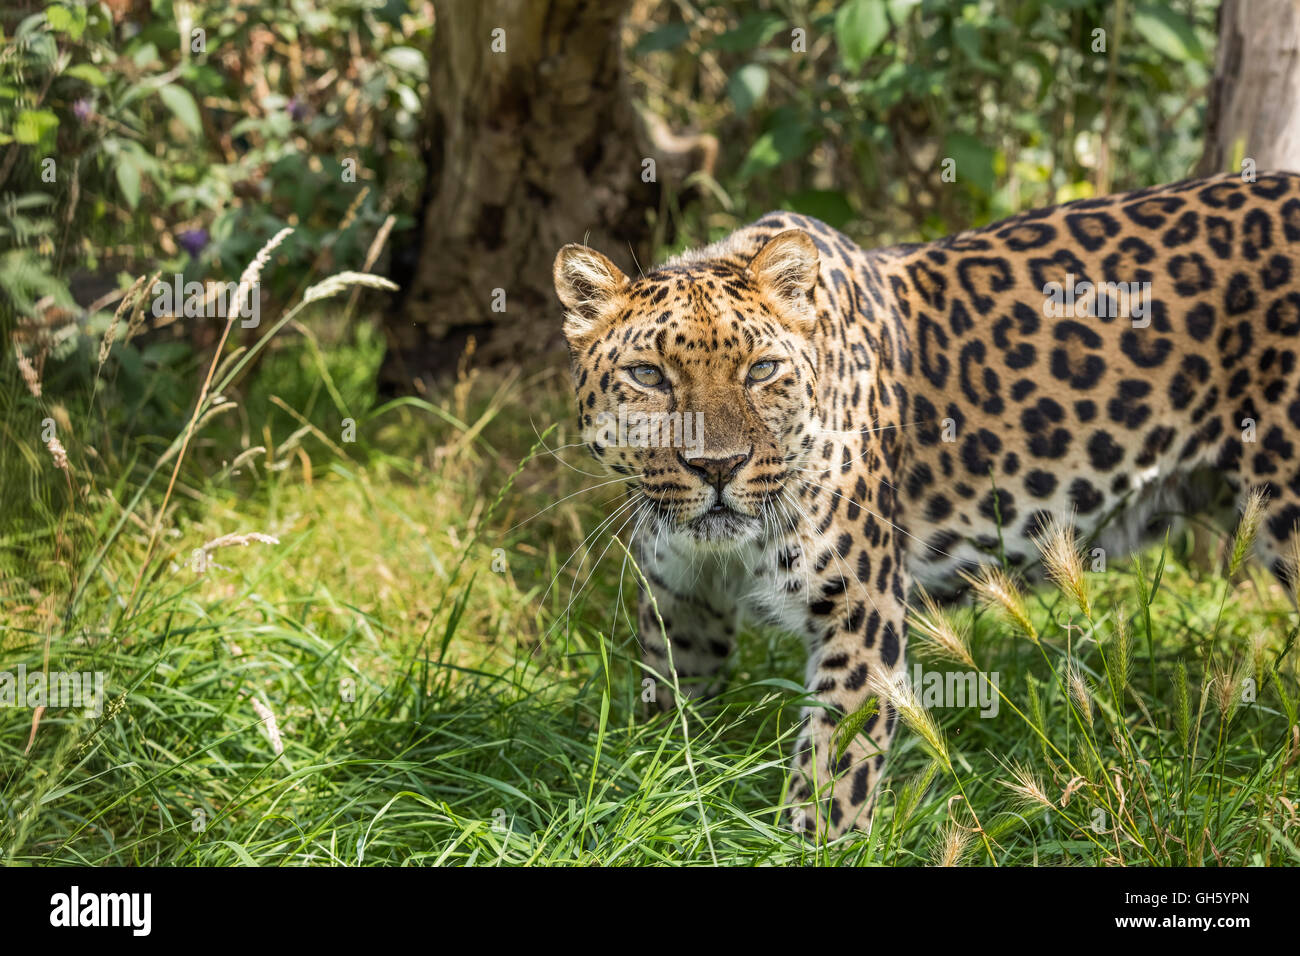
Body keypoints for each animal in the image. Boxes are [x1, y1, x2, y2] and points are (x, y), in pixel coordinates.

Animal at [552, 170, 1300, 839]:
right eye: (648, 376)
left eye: (762, 370)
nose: (717, 467)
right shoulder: (682, 603)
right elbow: (673, 715)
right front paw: (667, 787)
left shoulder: (860, 608)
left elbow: (835, 767)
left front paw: (808, 845)